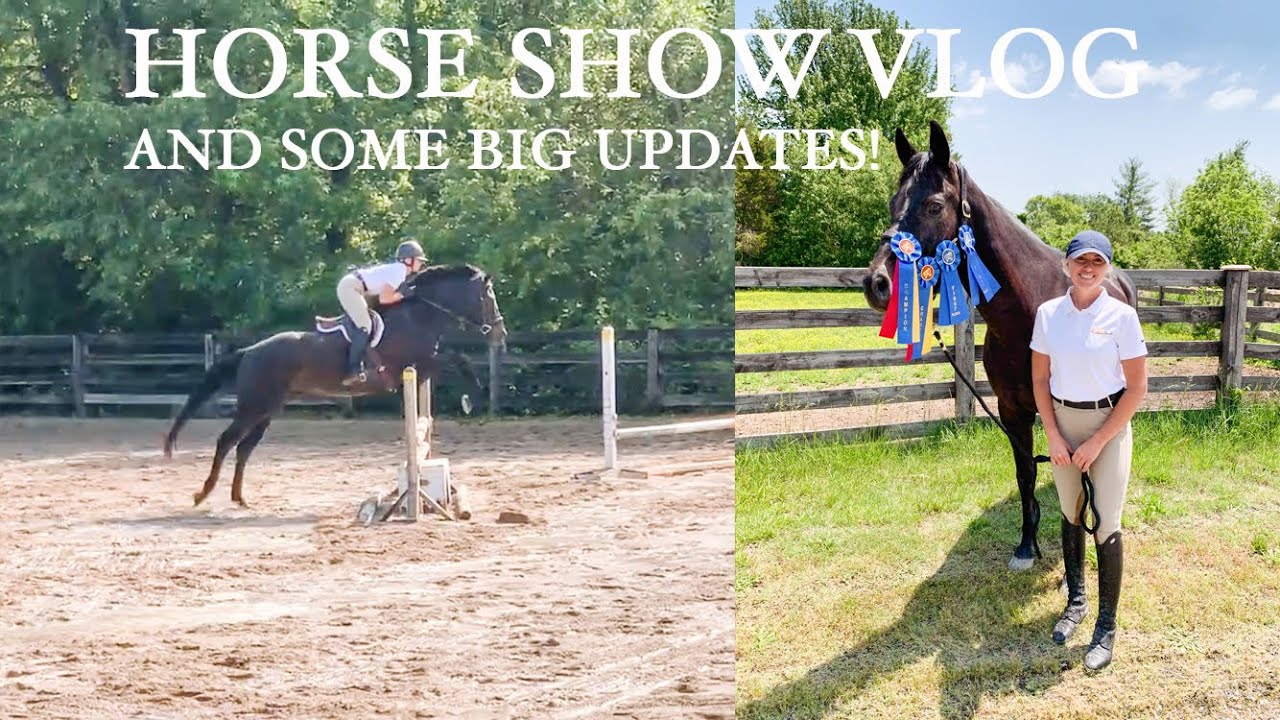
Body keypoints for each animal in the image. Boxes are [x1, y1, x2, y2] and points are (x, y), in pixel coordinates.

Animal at [163, 263, 507, 508]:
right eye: (488, 298)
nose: (500, 335)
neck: (419, 316)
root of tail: (251, 351)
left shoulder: (420, 369)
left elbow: (457, 358)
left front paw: (470, 398)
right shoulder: (415, 366)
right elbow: (460, 358)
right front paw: (472, 398)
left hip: (267, 410)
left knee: (244, 448)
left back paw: (240, 498)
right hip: (253, 407)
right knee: (226, 441)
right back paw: (203, 494)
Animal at [863, 121, 1138, 570]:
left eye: (934, 206)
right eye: (893, 202)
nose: (877, 283)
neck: (1028, 314)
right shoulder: (1012, 410)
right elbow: (1026, 474)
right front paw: (1027, 545)